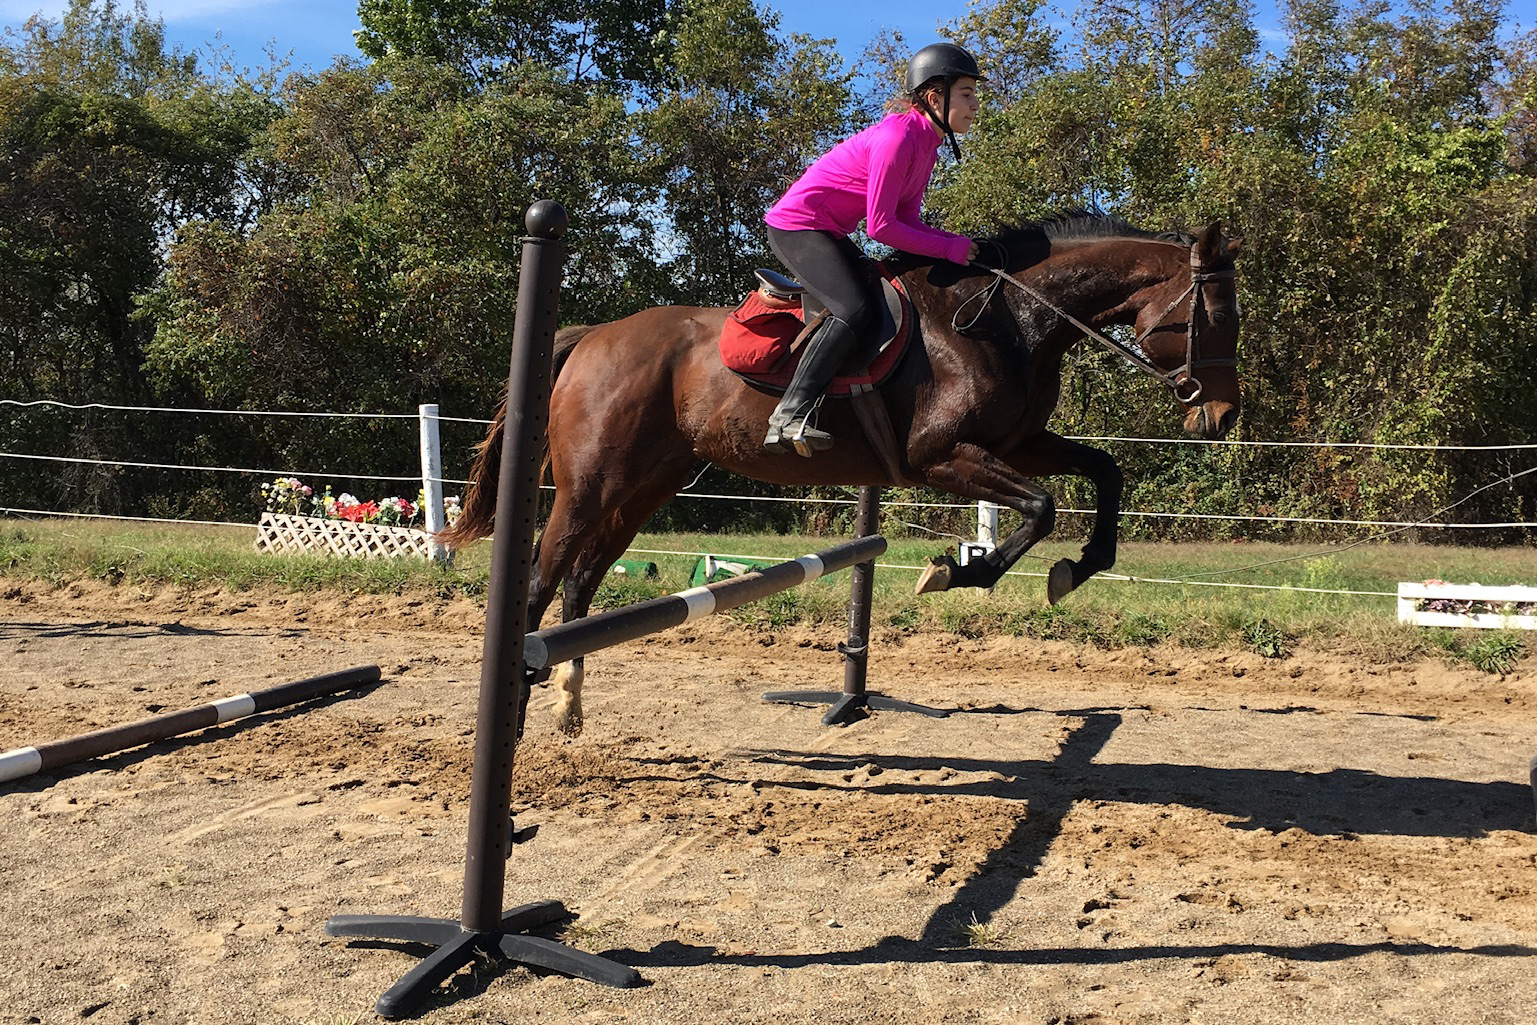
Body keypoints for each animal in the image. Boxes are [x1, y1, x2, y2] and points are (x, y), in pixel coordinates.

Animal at [441, 211, 1243, 735]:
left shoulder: (1016, 443)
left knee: (583, 577)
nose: (1223, 415)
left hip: (646, 485)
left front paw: (1076, 568)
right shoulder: (939, 457)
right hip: (590, 483)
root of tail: (593, 336)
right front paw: (956, 571)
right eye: (1216, 316)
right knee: (540, 580)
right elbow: (1042, 507)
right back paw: (516, 712)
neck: (1007, 318)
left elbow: (1102, 472)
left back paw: (569, 705)